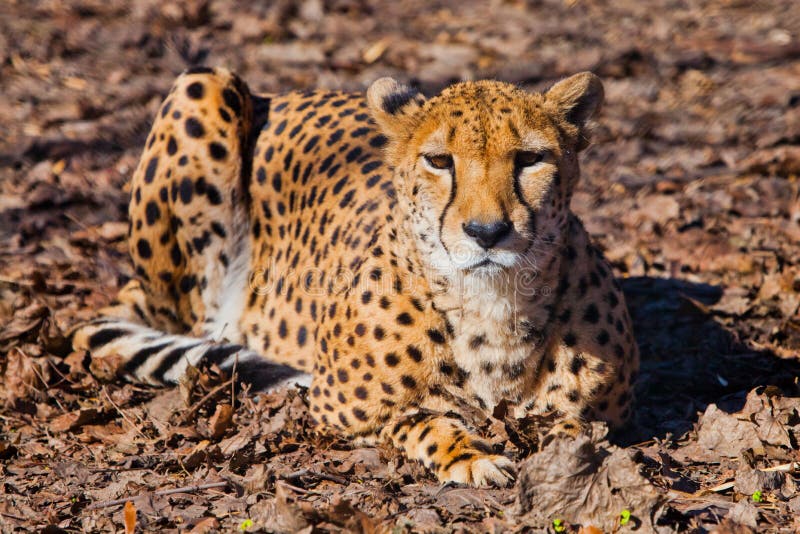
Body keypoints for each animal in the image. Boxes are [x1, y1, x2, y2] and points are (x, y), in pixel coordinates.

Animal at [70, 66, 639, 487]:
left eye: (530, 159)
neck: (491, 304)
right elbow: (418, 419)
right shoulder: (334, 409)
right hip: (203, 85)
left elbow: (576, 423)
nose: (487, 232)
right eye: (439, 161)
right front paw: (472, 455)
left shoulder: (610, 411)